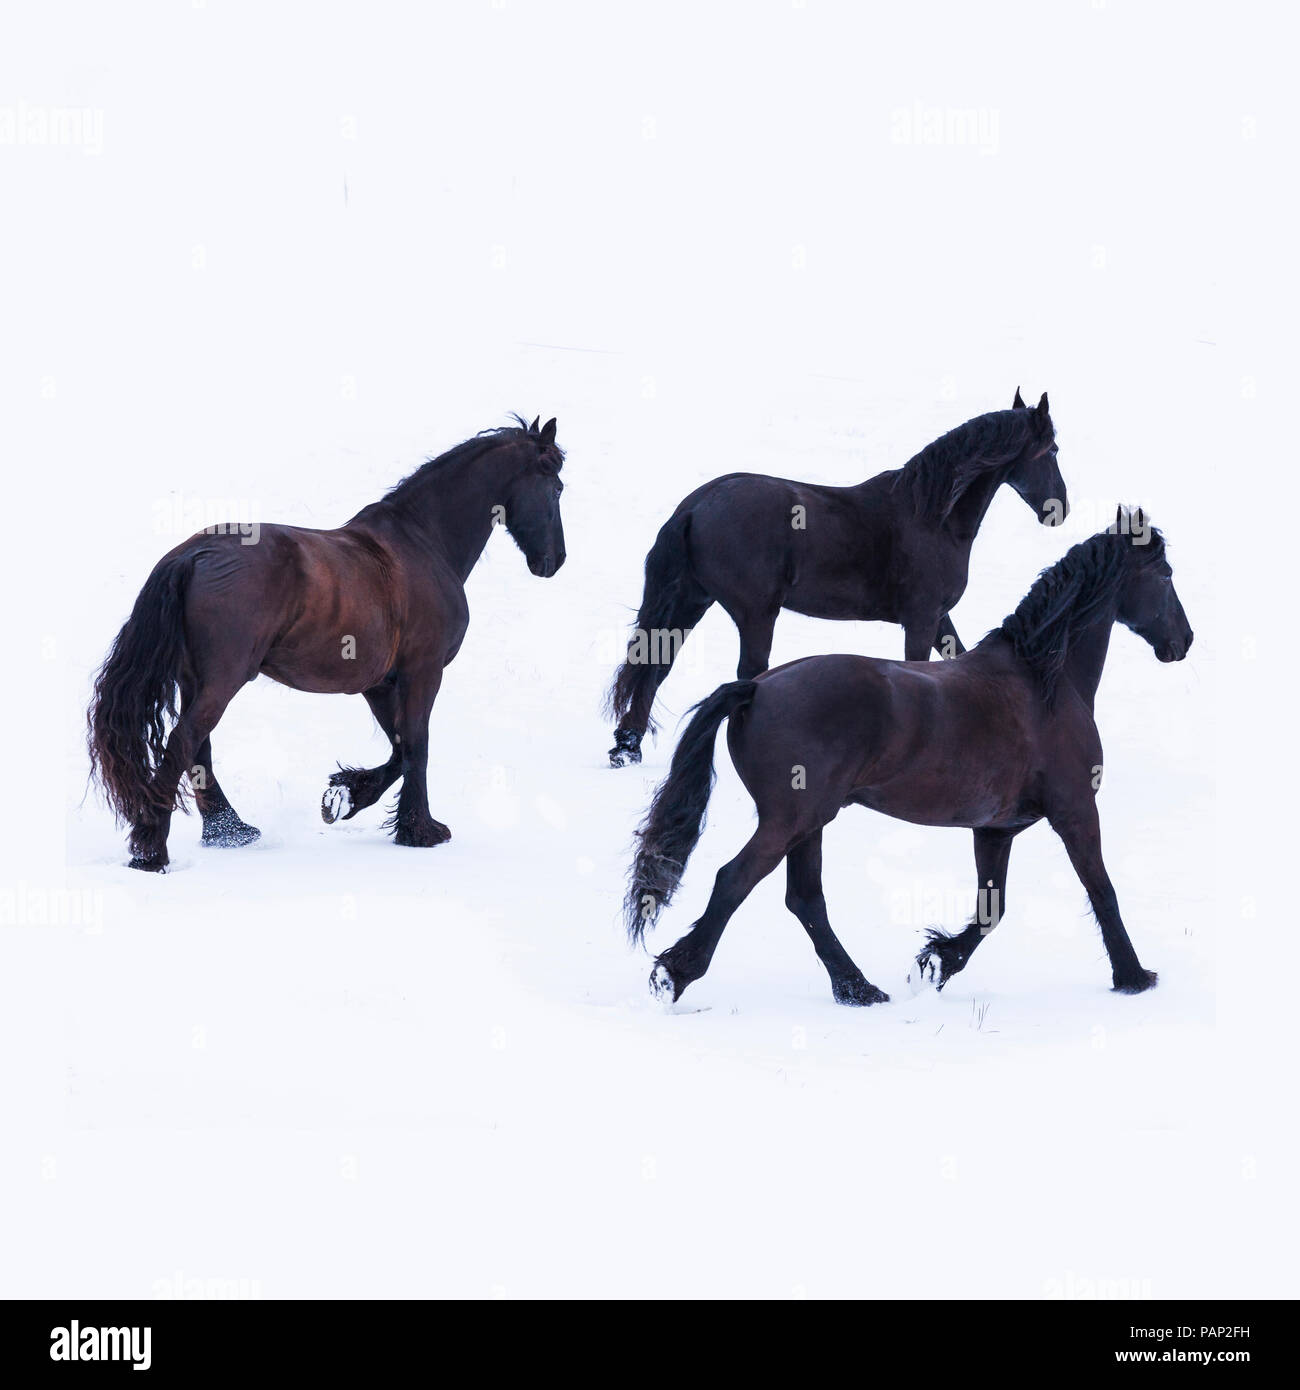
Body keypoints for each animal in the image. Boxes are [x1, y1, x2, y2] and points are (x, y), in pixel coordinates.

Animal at [88, 415, 566, 871]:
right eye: (558, 487)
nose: (555, 561)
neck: (422, 543)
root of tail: (190, 557)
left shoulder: (380, 684)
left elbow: (400, 748)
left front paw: (345, 796)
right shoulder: (422, 672)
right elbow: (418, 745)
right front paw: (420, 829)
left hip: (196, 681)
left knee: (198, 748)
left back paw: (230, 831)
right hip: (224, 679)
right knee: (183, 742)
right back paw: (153, 852)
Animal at [606, 390, 1068, 767]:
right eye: (1053, 450)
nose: (1059, 508)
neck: (933, 516)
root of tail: (696, 506)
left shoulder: (937, 618)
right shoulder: (921, 618)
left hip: (690, 601)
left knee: (655, 665)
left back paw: (627, 747)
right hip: (756, 613)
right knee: (745, 669)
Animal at [625, 508, 1192, 1006]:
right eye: (1165, 574)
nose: (1183, 641)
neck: (1042, 680)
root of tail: (755, 688)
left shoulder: (994, 830)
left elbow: (993, 910)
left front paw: (938, 962)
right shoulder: (1074, 811)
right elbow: (1101, 889)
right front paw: (1133, 977)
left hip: (808, 824)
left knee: (805, 900)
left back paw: (858, 990)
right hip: (792, 820)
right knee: (735, 881)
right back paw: (676, 974)